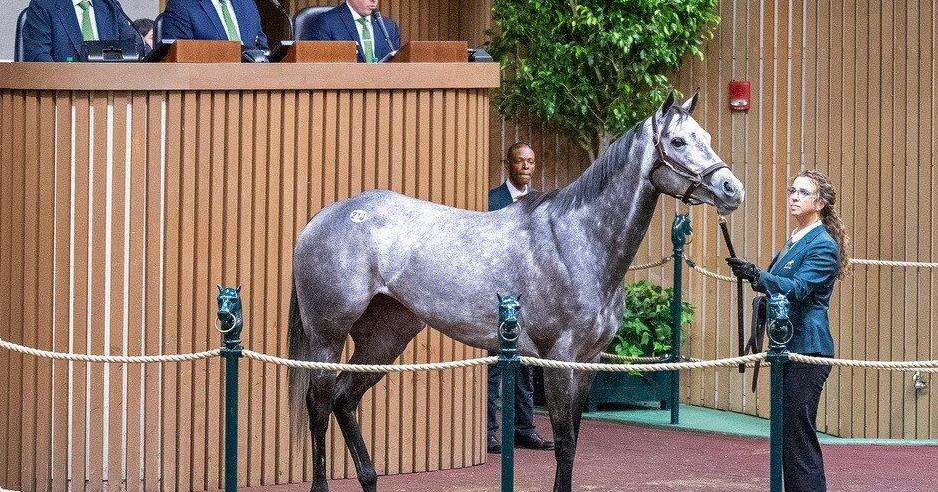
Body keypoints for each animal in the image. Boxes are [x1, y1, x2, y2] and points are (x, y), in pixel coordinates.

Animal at [287, 92, 744, 492]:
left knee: (345, 400)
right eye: (678, 141)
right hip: (327, 337)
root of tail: (323, 219)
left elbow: (573, 439)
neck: (577, 240)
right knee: (319, 403)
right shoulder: (559, 358)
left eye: (705, 135)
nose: (732, 189)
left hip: (385, 339)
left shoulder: (590, 361)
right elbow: (564, 444)